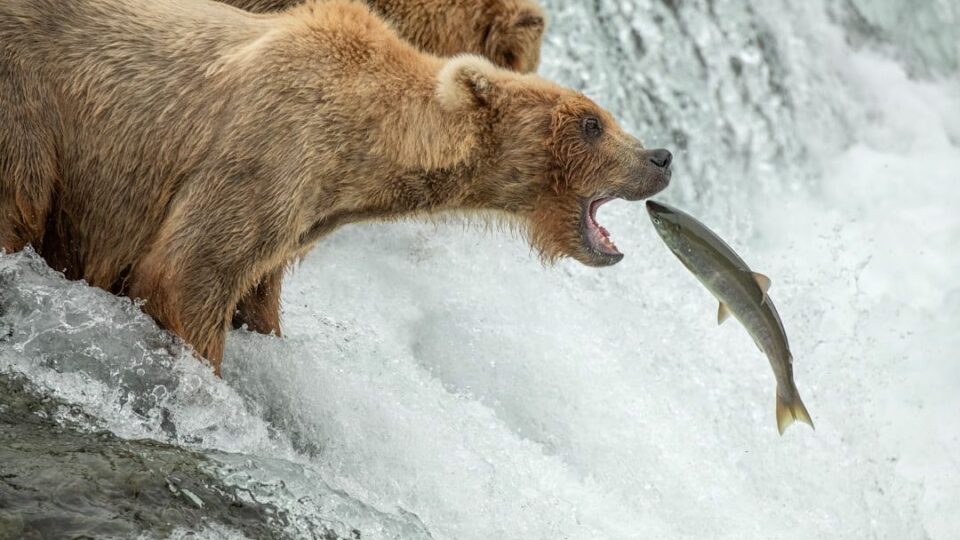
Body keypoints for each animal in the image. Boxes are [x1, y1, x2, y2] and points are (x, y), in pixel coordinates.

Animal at [0, 0, 672, 375]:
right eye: (592, 123)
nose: (661, 156)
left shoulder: (296, 216)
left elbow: (254, 293)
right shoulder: (267, 150)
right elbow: (186, 272)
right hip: (29, 111)